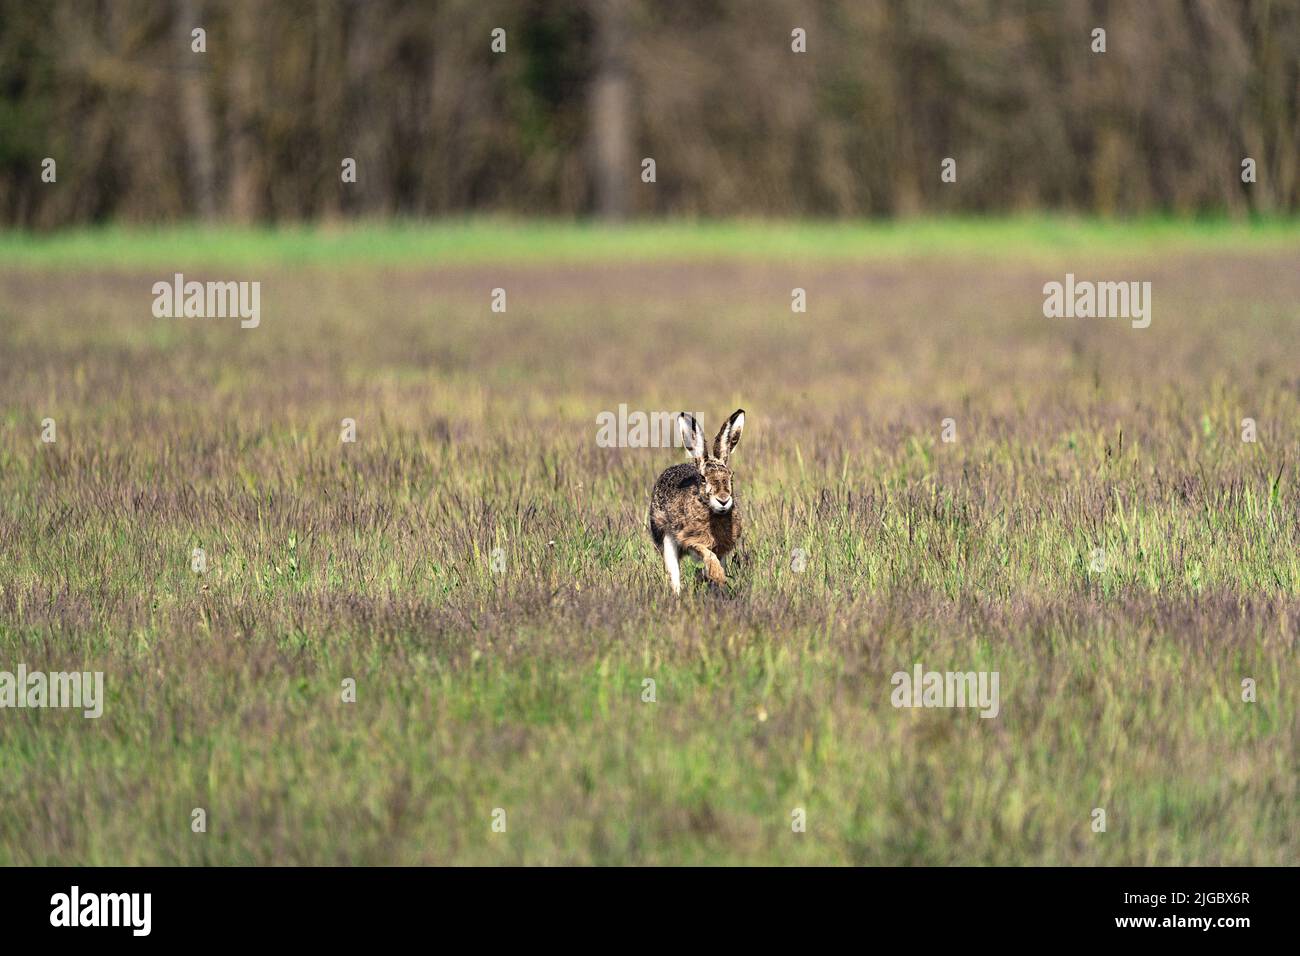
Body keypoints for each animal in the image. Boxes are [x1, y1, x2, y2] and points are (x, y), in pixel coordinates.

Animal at [648, 409, 745, 595]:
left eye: (731, 476)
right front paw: (716, 575)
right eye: (703, 478)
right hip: (666, 539)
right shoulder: (690, 538)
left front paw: (711, 578)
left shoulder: (722, 547)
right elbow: (707, 554)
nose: (723, 500)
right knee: (674, 574)